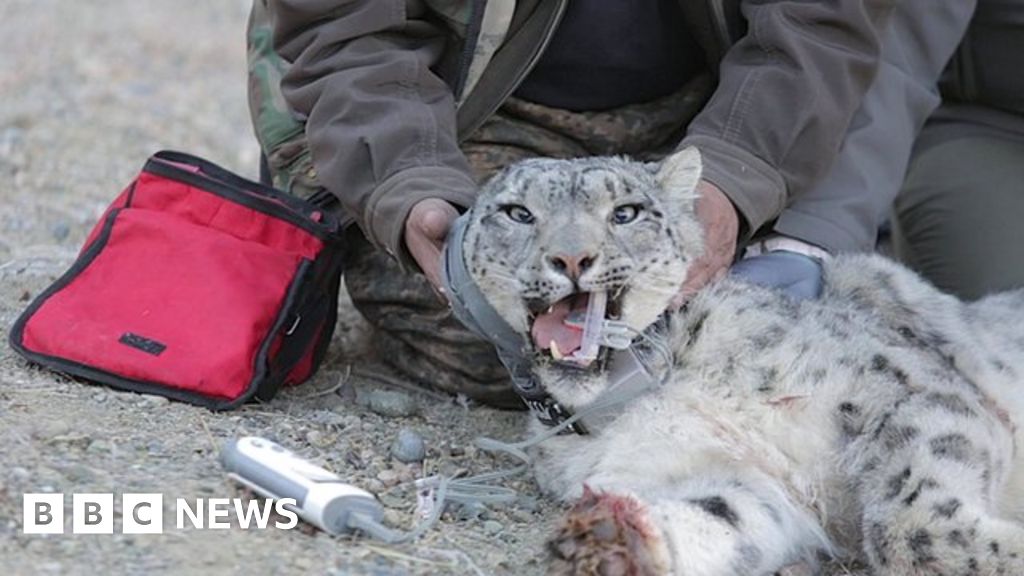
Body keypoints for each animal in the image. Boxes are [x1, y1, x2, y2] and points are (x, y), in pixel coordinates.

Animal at [459, 146, 1024, 575]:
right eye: (518, 213)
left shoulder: (910, 393)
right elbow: (725, 515)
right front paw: (614, 539)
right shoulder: (732, 480)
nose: (572, 258)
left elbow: (906, 520)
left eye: (625, 212)